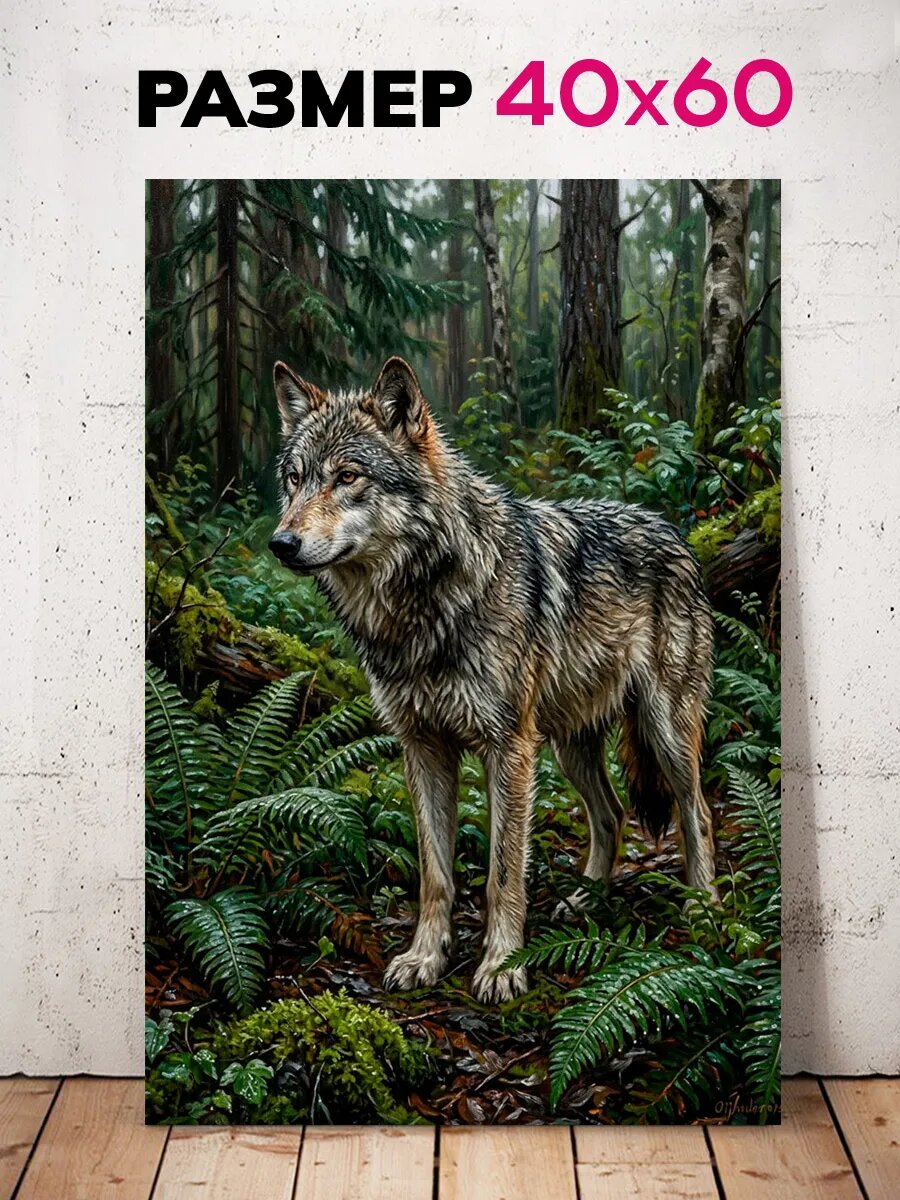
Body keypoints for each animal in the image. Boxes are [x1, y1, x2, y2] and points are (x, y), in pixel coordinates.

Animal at [269, 356, 718, 1003]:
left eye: (347, 476)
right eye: (294, 478)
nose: (281, 543)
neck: (422, 606)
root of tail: (670, 530)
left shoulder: (507, 747)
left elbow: (503, 872)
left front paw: (503, 967)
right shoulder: (423, 746)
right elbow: (435, 874)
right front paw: (425, 957)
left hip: (661, 734)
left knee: (696, 811)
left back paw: (703, 907)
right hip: (566, 746)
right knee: (611, 813)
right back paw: (587, 899)